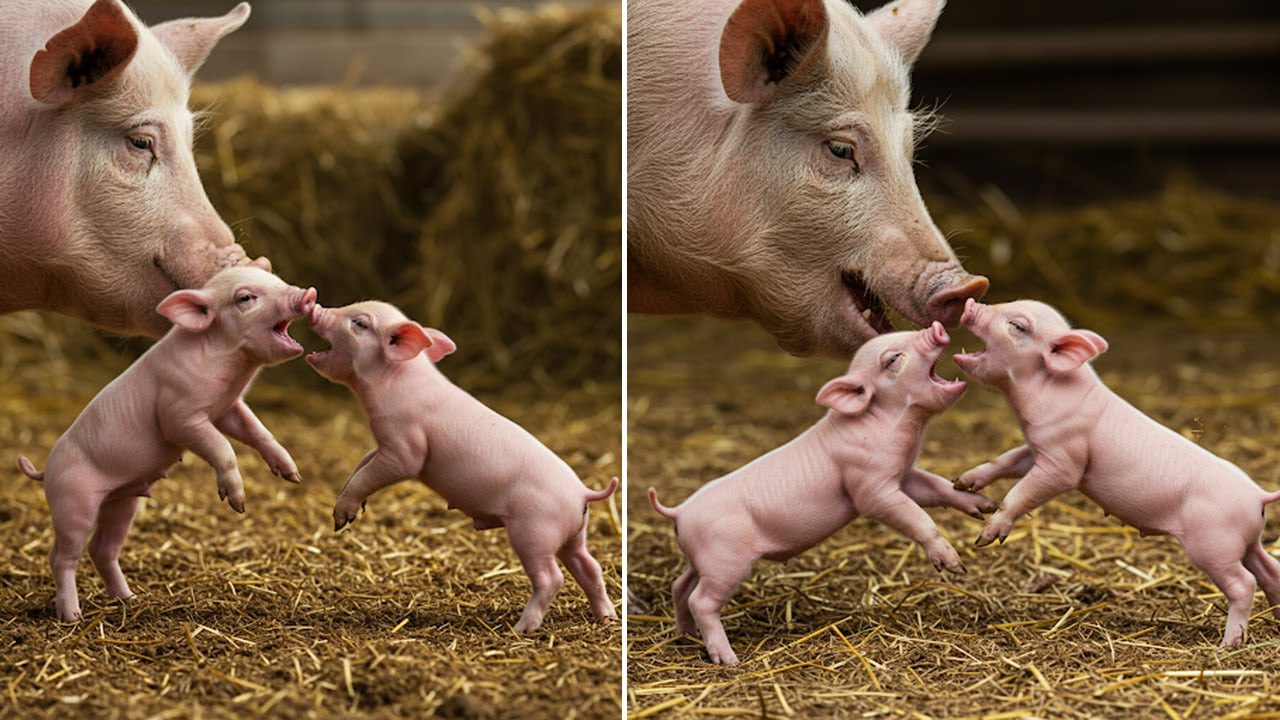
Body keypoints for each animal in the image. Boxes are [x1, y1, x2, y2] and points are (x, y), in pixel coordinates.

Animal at [16, 266, 316, 622]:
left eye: (278, 280)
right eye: (245, 298)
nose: (307, 293)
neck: (232, 369)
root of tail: (45, 471)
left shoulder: (229, 409)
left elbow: (258, 432)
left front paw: (292, 474)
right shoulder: (179, 414)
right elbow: (221, 447)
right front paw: (237, 503)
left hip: (121, 501)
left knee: (101, 548)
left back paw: (128, 598)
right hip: (72, 501)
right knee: (62, 555)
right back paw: (73, 616)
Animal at [306, 301, 618, 633]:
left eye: (360, 323)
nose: (316, 306)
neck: (393, 380)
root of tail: (583, 494)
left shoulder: (405, 447)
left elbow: (379, 470)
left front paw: (342, 519)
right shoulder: (381, 446)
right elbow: (362, 464)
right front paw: (344, 512)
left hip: (535, 531)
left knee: (552, 577)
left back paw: (520, 629)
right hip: (572, 536)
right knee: (590, 567)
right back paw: (607, 619)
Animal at [647, 323, 996, 664]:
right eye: (893, 359)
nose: (937, 326)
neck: (892, 424)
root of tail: (679, 511)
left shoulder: (905, 475)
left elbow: (937, 487)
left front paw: (985, 506)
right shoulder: (870, 486)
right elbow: (914, 516)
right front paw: (954, 565)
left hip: (702, 559)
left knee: (680, 586)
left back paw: (685, 636)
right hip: (724, 560)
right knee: (701, 600)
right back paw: (728, 659)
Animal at [951, 298, 1280, 647]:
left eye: (1017, 326)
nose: (971, 303)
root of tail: (1258, 496)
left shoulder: (1064, 459)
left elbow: (1022, 492)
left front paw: (986, 538)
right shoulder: (1036, 449)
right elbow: (1006, 460)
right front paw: (963, 482)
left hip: (1215, 544)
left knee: (1244, 583)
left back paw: (1226, 645)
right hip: (1245, 542)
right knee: (1270, 568)